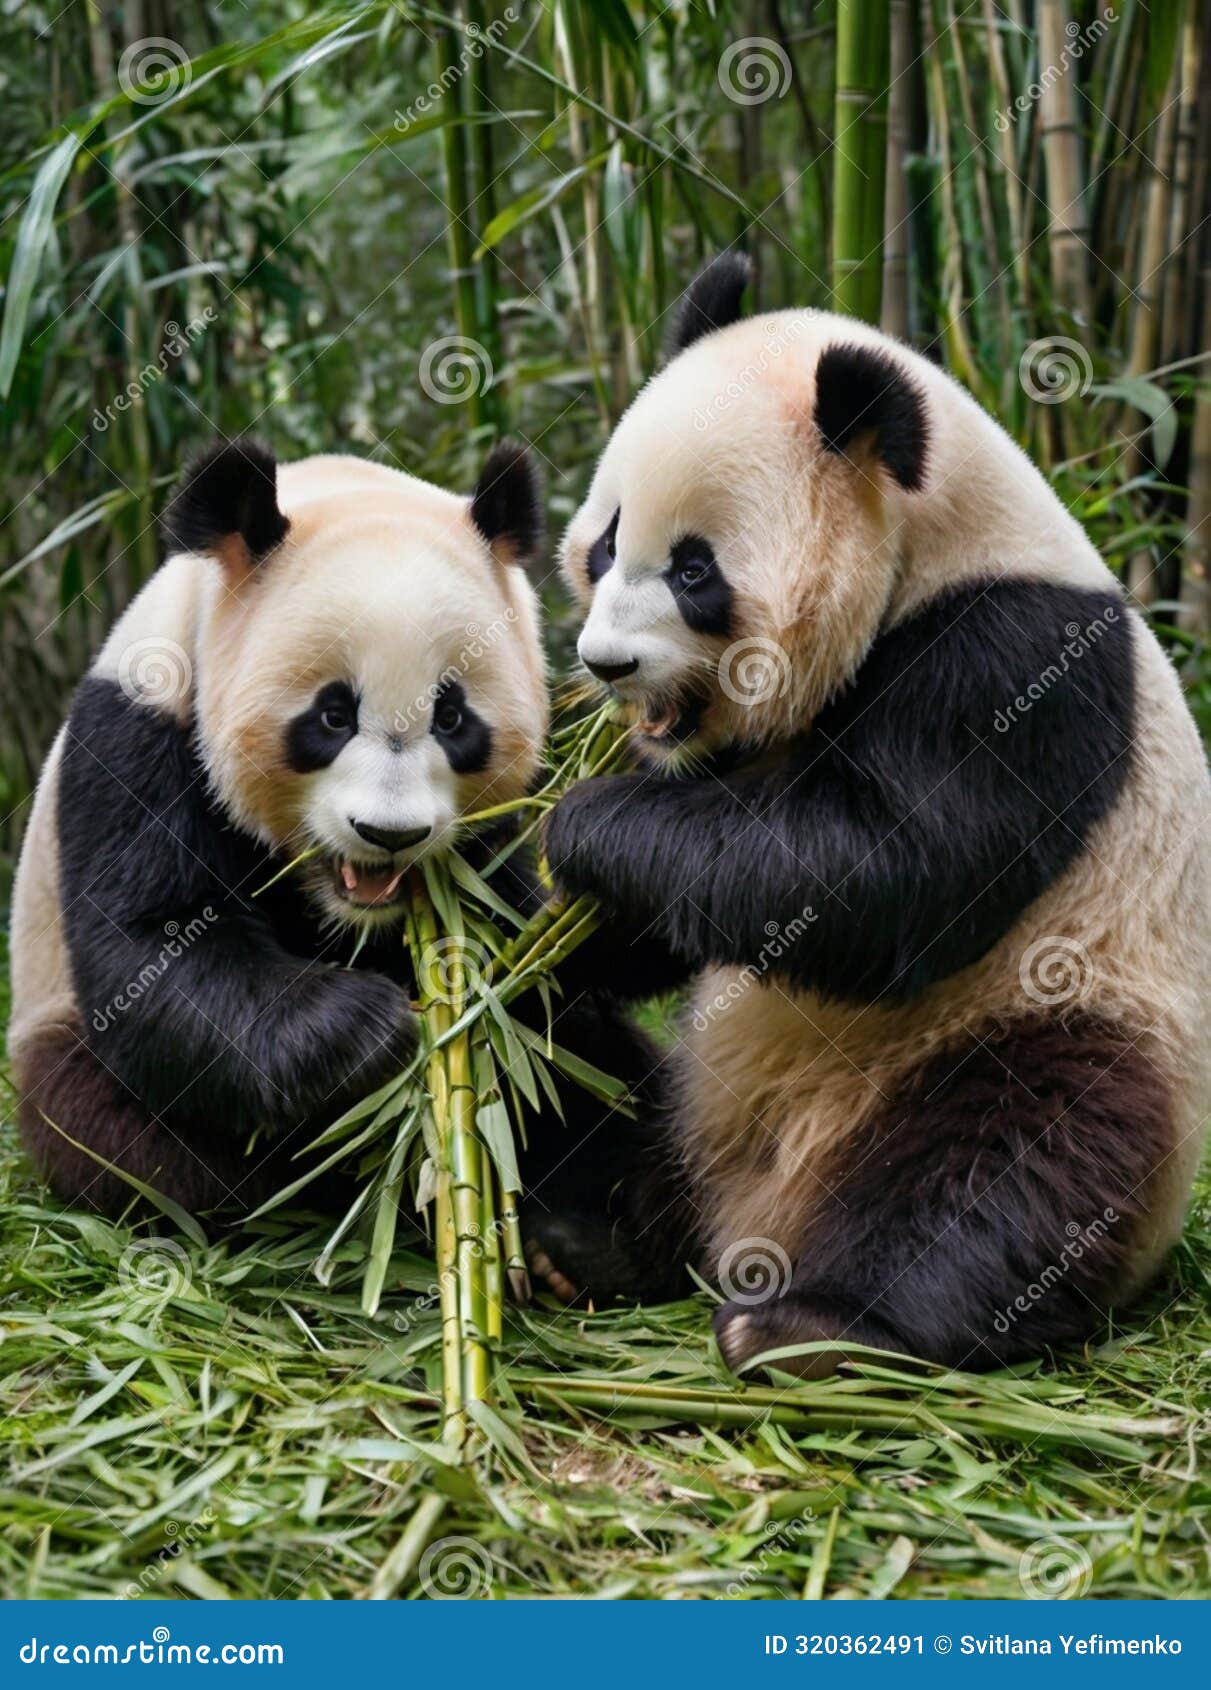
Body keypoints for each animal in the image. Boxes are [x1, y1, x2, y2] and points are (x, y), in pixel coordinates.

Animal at [8, 438, 648, 1235]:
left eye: (452, 717)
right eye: (333, 716)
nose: (389, 834)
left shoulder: (493, 836)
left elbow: (536, 943)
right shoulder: (142, 729)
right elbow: (155, 947)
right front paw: (362, 1029)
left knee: (603, 1079)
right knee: (119, 1142)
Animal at [541, 253, 1211, 1377]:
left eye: (693, 568)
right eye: (604, 545)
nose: (605, 665)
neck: (937, 542)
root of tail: (745, 1221)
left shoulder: (1014, 660)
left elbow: (879, 874)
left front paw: (582, 822)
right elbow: (676, 918)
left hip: (1051, 1013)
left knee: (1013, 1157)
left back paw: (815, 1326)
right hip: (691, 1096)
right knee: (564, 1062)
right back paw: (583, 1237)